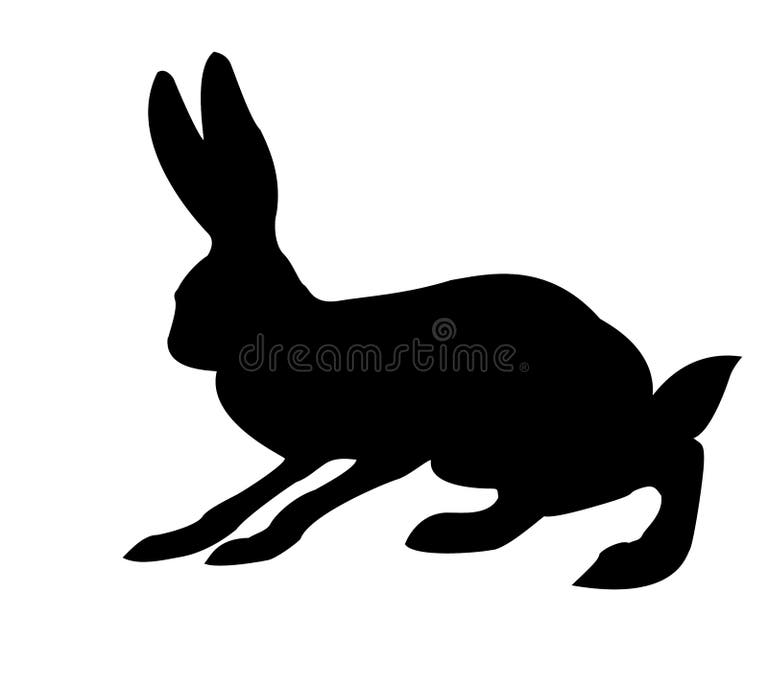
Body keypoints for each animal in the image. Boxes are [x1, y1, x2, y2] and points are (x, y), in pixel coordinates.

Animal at [125, 53, 739, 588]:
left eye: (206, 297)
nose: (176, 346)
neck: (286, 329)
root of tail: (642, 395)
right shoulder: (311, 451)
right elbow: (251, 494)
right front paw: (173, 542)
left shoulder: (390, 448)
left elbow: (307, 500)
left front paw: (253, 548)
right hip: (475, 458)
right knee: (538, 497)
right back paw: (455, 532)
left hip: (509, 439)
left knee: (672, 459)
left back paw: (629, 563)